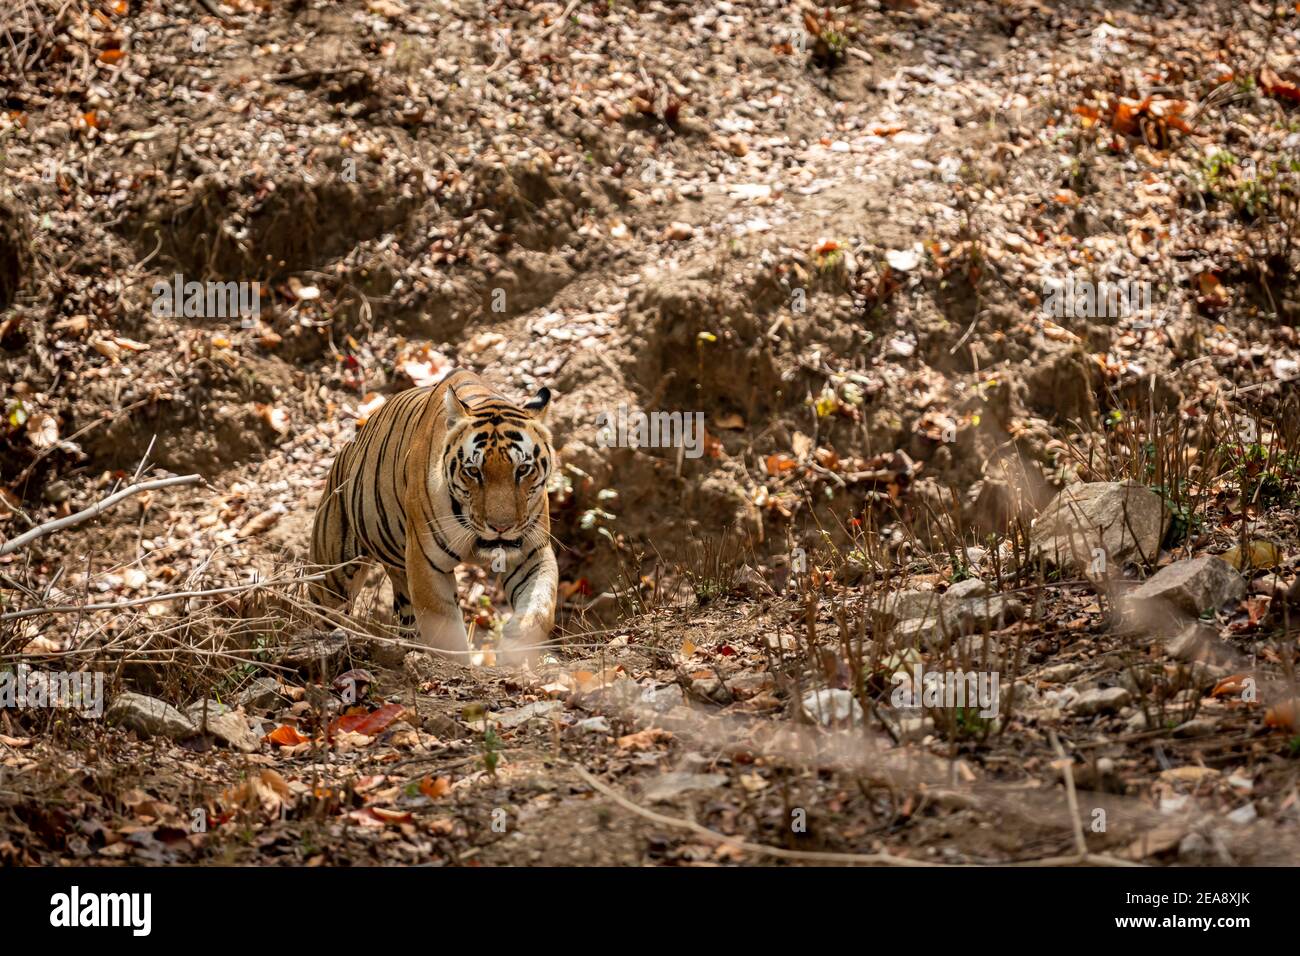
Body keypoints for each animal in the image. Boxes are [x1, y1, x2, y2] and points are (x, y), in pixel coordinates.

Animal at [309, 369, 558, 666]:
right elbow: (447, 634)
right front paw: (460, 668)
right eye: (473, 471)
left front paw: (514, 649)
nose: (501, 527)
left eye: (523, 469)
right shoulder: (427, 565)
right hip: (331, 575)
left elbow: (541, 605)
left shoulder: (532, 552)